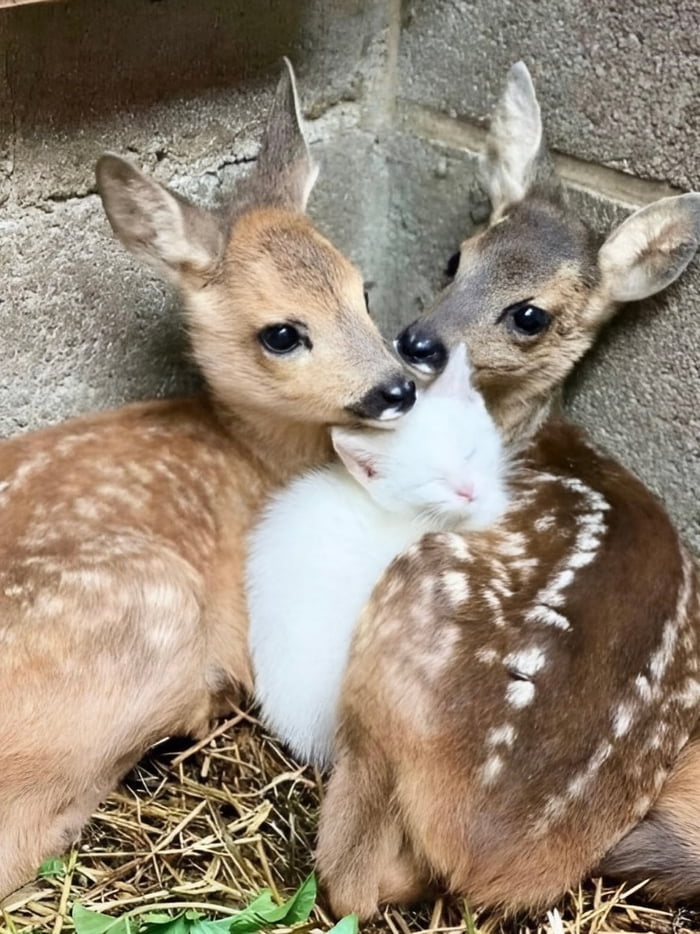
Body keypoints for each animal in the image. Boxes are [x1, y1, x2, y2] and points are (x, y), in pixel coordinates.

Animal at [316, 62, 700, 919]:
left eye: (529, 316)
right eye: (457, 259)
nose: (418, 340)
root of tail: (487, 845)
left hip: (400, 623)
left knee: (352, 876)